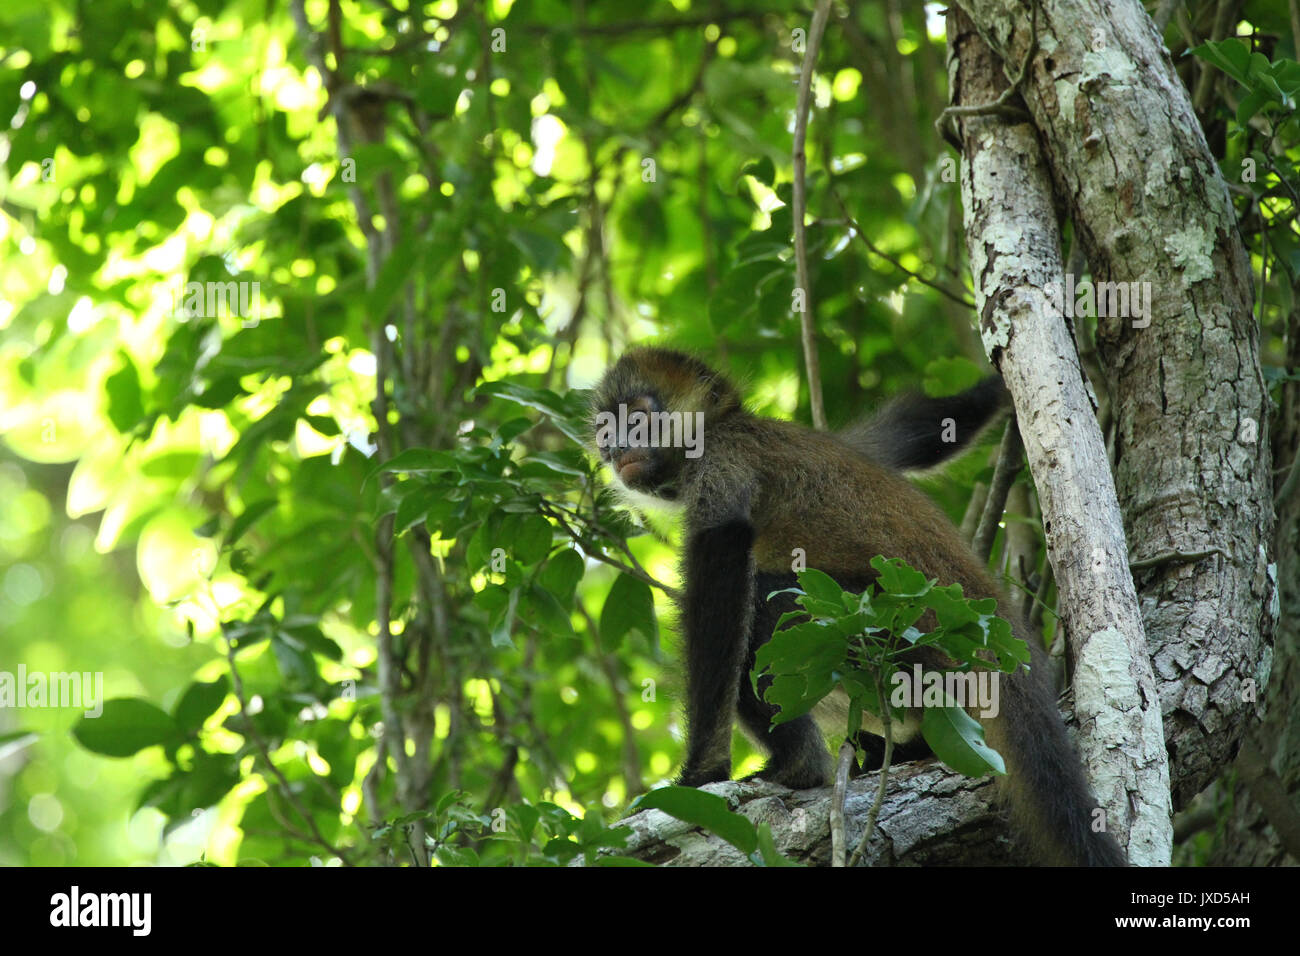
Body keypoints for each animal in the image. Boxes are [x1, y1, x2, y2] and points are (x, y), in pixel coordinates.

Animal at [590, 346, 1126, 866]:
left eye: (637, 418)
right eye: (606, 428)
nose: (614, 448)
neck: (727, 425)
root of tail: (1001, 647)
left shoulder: (722, 461)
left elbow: (721, 593)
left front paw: (702, 774)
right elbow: (910, 433)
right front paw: (996, 388)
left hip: (896, 642)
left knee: (764, 603)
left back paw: (801, 768)